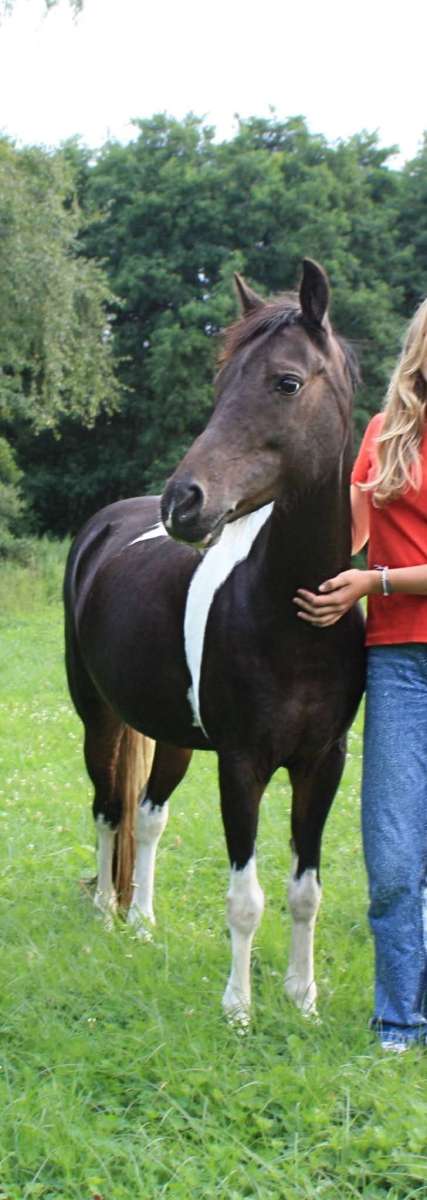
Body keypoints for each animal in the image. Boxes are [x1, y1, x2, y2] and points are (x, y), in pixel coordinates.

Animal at [64, 258, 365, 1024]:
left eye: (285, 382)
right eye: (221, 381)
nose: (184, 503)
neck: (290, 619)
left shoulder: (323, 764)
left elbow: (304, 891)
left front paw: (302, 999)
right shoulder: (242, 764)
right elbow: (245, 896)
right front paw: (238, 1009)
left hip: (171, 734)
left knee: (147, 816)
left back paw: (142, 922)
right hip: (97, 717)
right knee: (109, 808)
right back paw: (107, 915)